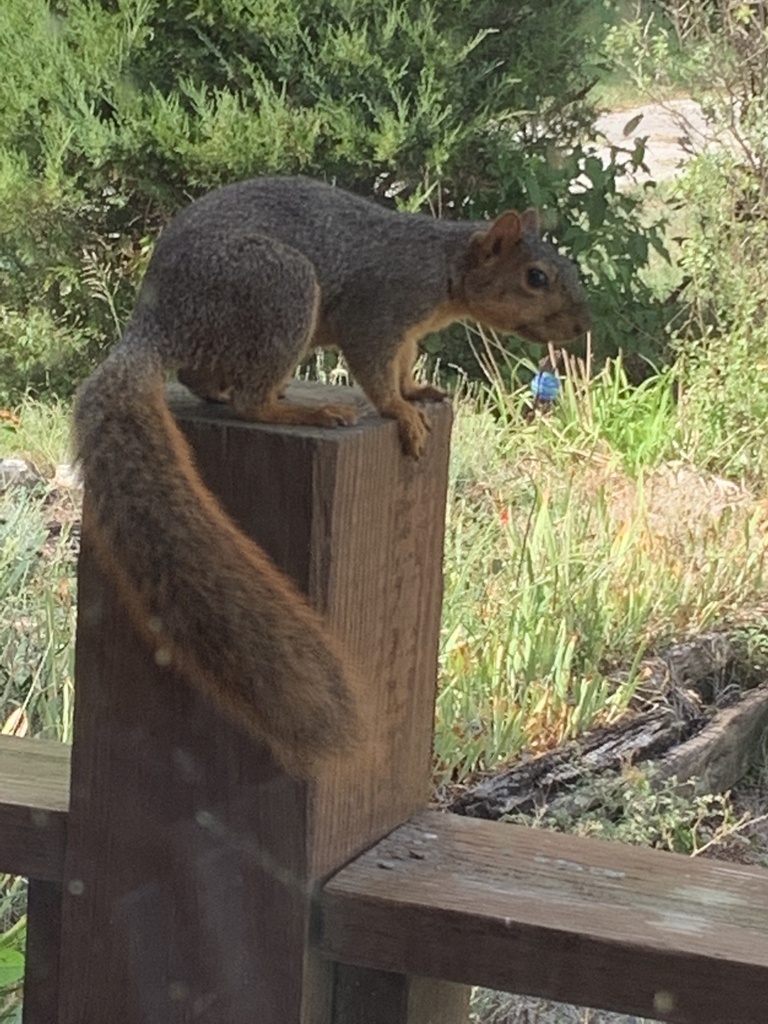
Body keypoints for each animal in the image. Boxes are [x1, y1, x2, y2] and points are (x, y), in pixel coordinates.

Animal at [74, 175, 590, 779]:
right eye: (536, 277)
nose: (582, 326)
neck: (441, 264)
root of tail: (157, 323)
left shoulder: (406, 333)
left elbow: (403, 365)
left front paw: (417, 391)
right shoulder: (378, 311)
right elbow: (376, 373)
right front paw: (400, 412)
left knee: (205, 380)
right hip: (279, 288)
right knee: (248, 401)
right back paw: (302, 411)